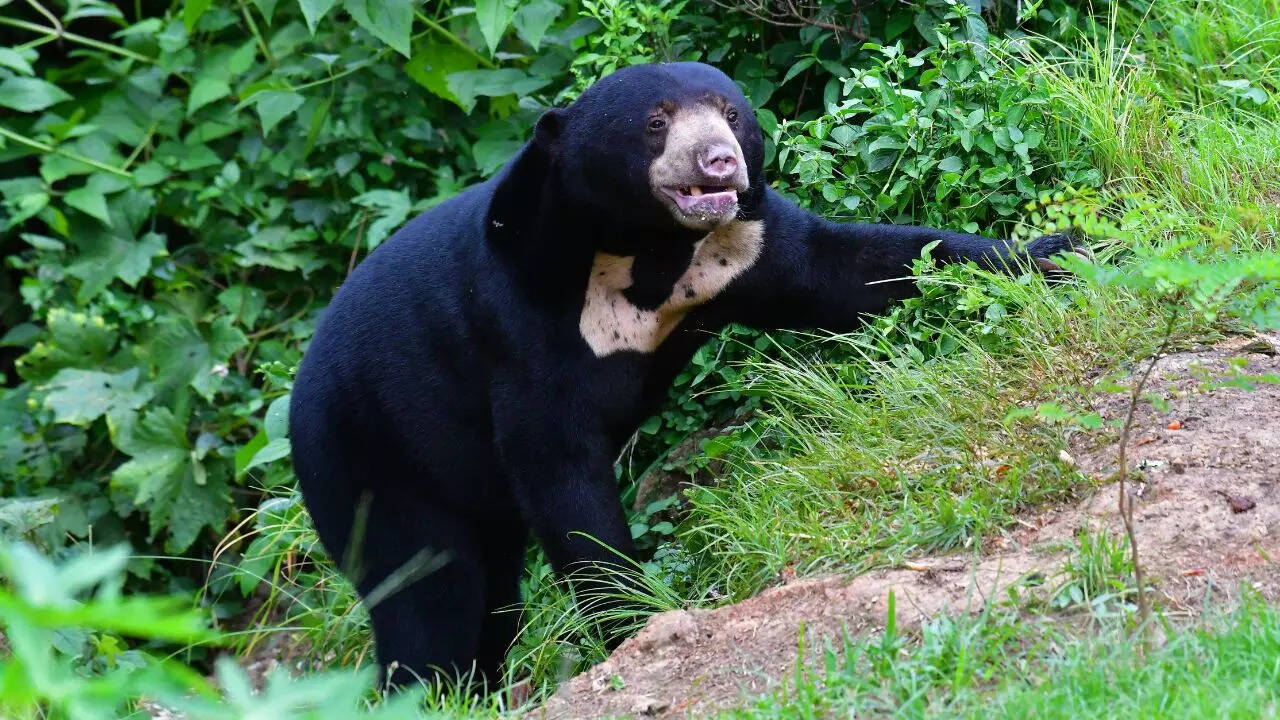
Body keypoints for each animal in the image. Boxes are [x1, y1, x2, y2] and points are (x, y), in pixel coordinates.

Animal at [288, 61, 1083, 689]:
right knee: (429, 596)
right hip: (372, 461)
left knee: (491, 593)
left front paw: (1055, 251)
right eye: (655, 122)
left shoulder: (742, 246)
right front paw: (637, 622)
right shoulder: (516, 320)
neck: (646, 249)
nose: (719, 162)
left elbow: (851, 268)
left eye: (731, 114)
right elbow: (558, 466)